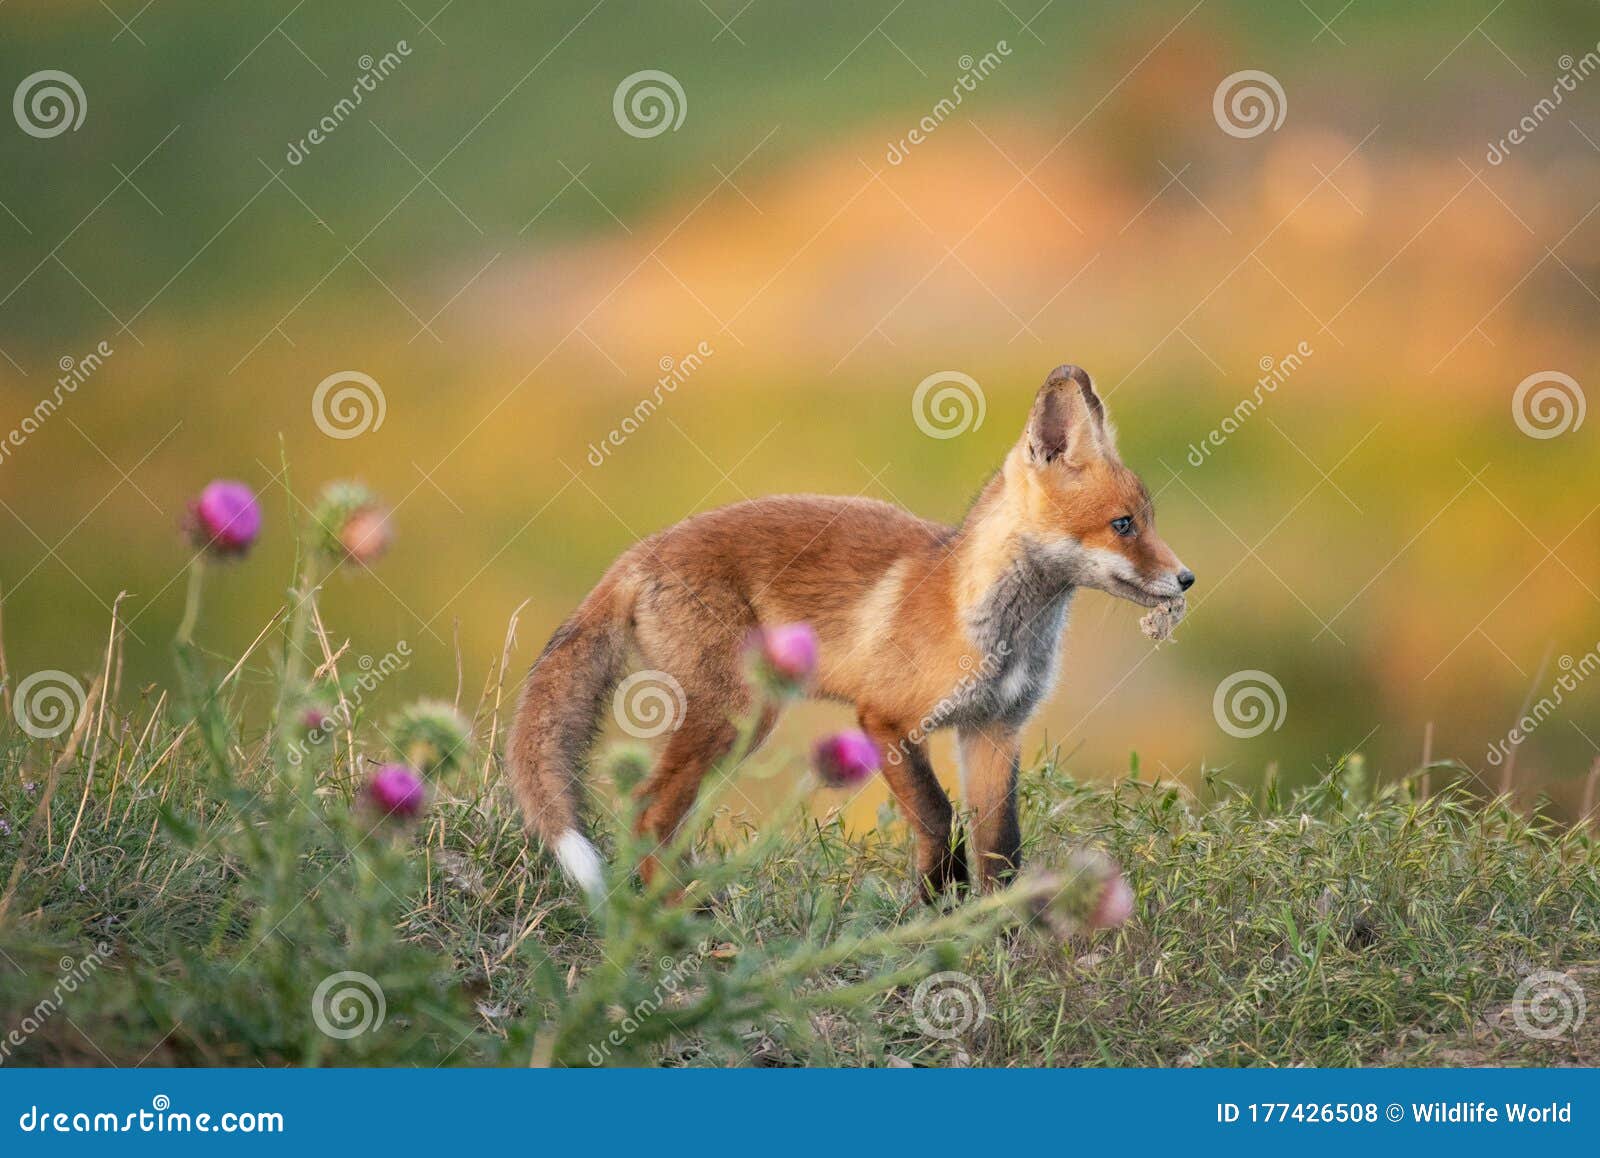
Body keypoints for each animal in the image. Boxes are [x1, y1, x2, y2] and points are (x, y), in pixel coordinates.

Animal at [507, 363, 1193, 902]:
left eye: (1150, 520)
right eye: (1123, 525)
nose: (1186, 578)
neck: (999, 633)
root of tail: (635, 554)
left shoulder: (994, 729)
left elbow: (1002, 846)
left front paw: (999, 929)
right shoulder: (884, 721)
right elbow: (937, 818)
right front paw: (935, 908)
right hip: (739, 714)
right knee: (649, 810)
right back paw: (675, 916)